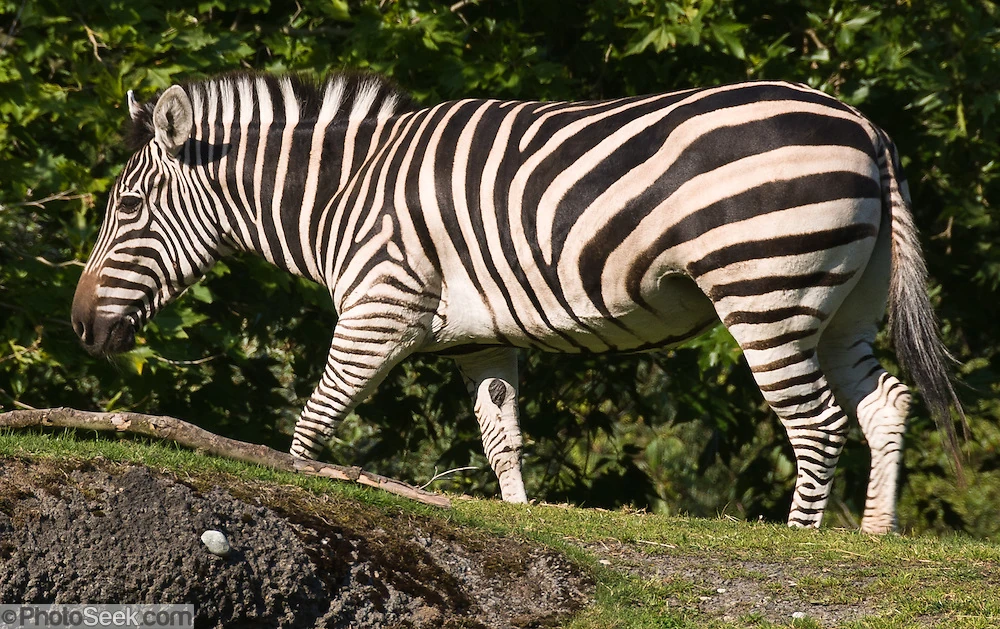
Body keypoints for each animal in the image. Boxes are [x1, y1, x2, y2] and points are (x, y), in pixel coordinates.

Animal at [71, 70, 961, 533]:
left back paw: (800, 541)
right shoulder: (480, 339)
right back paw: (876, 538)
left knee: (818, 422)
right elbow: (503, 443)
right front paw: (520, 518)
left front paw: (301, 490)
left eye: (129, 208)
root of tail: (864, 125)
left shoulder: (379, 309)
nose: (79, 326)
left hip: (762, 286)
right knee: (886, 401)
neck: (345, 191)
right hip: (844, 302)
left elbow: (311, 423)